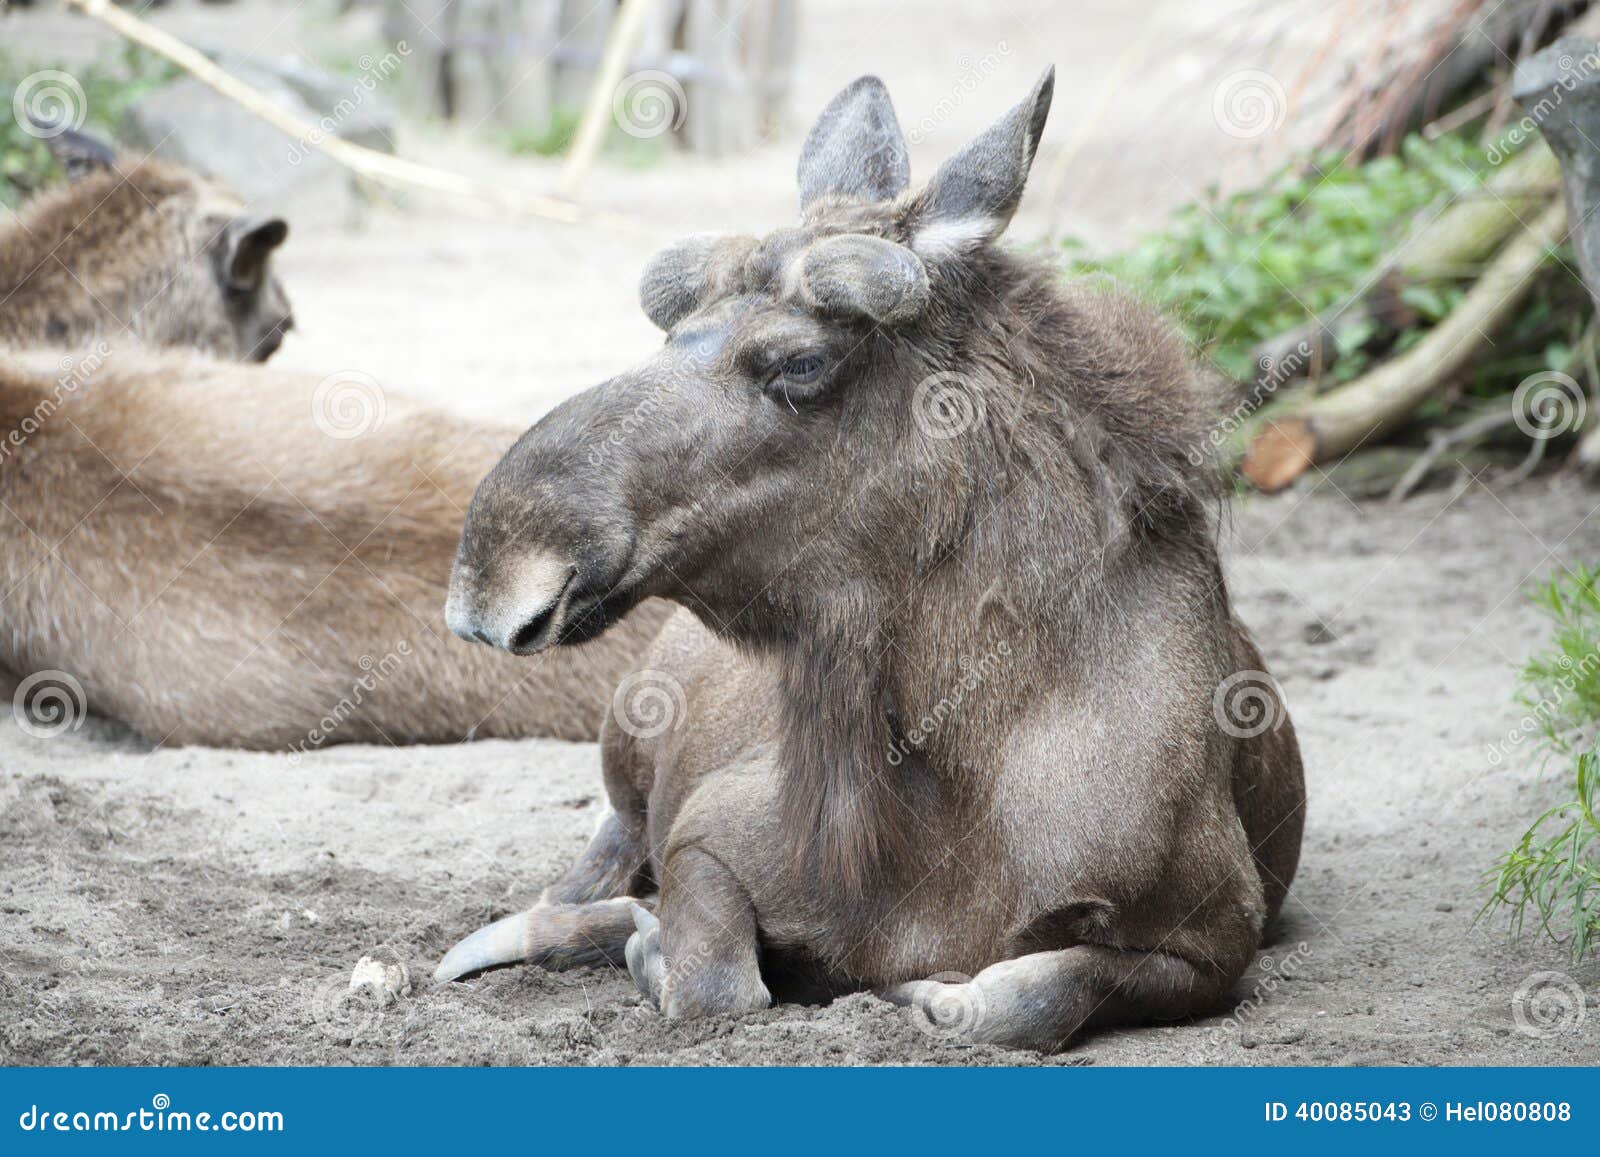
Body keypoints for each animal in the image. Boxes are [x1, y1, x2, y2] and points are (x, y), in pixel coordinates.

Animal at [436, 69, 1306, 1051]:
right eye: (671, 330)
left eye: (800, 362)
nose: (493, 568)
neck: (968, 772)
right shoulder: (707, 832)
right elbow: (715, 980)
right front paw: (641, 940)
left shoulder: (1217, 939)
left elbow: (1017, 997)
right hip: (626, 743)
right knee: (607, 842)